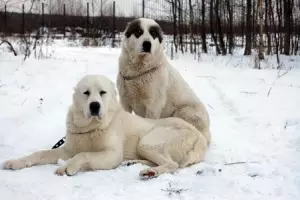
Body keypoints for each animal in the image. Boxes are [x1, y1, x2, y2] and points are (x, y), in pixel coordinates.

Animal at [2, 74, 209, 178]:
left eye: (102, 92)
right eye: (86, 93)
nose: (95, 106)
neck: (91, 128)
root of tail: (199, 135)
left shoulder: (111, 155)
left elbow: (83, 155)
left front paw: (68, 167)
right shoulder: (67, 150)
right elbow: (39, 154)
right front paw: (15, 162)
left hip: (148, 141)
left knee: (172, 164)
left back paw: (151, 172)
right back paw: (134, 163)